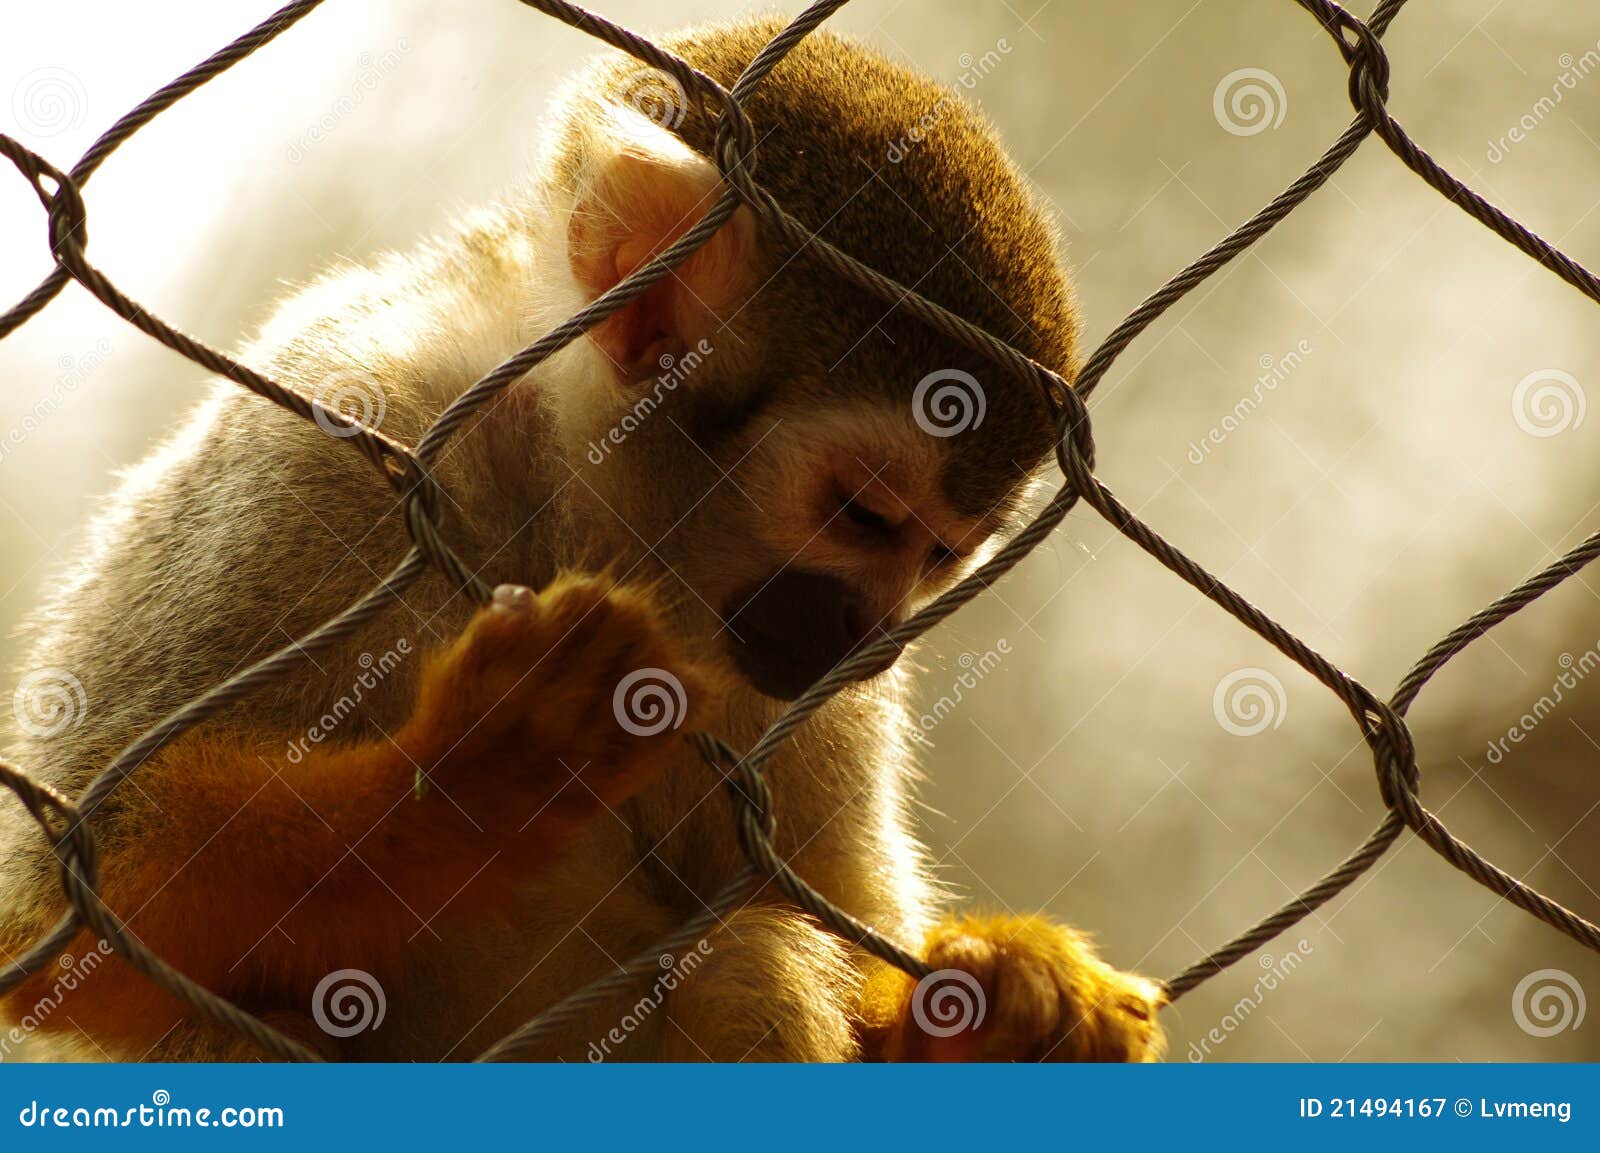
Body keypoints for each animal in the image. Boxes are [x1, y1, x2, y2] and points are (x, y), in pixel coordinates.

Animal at [0, 16, 1165, 1062]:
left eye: (940, 553)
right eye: (863, 514)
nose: (875, 639)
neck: (565, 486)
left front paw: (1008, 1017)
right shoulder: (344, 425)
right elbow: (69, 912)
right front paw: (478, 777)